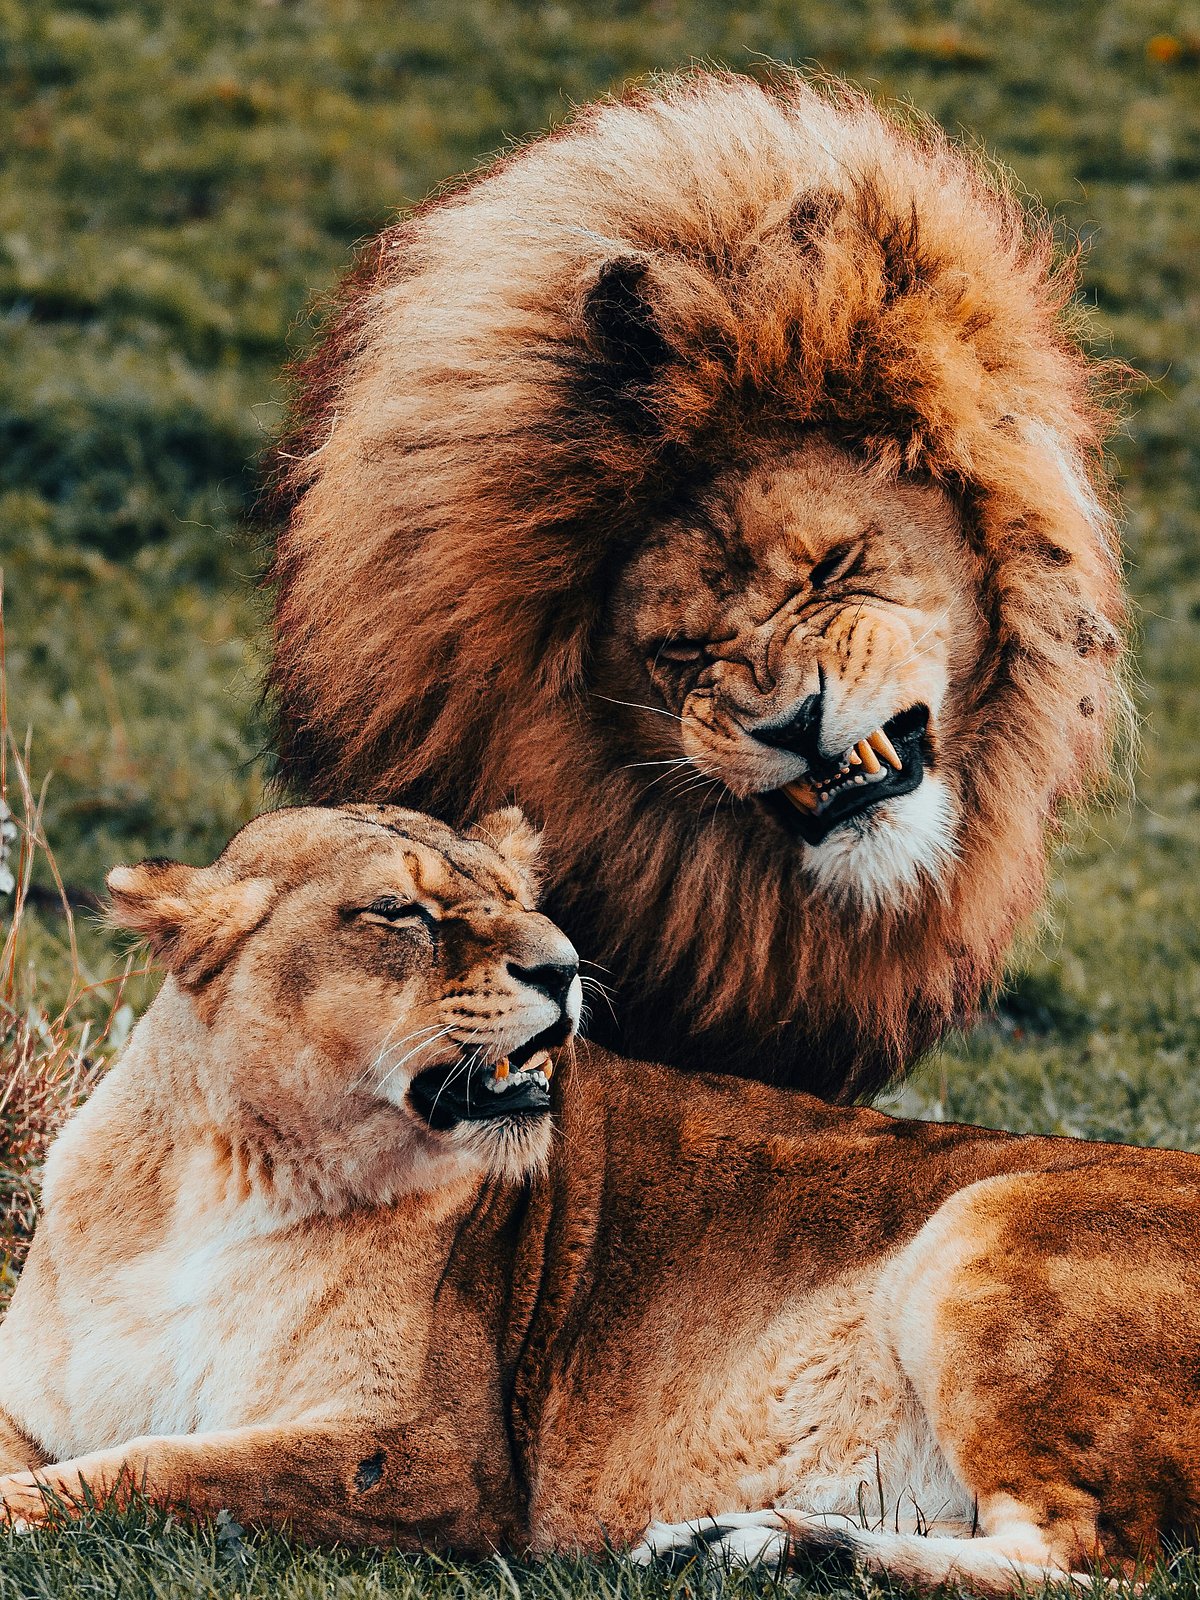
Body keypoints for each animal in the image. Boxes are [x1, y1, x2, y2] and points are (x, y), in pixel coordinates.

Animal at [4, 807, 1199, 1591]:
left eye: (526, 902)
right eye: (400, 910)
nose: (567, 966)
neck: (226, 1171)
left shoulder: (428, 1455)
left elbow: (156, 1465)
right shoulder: (34, 1406)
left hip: (979, 1231)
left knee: (1095, 1558)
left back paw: (764, 1550)